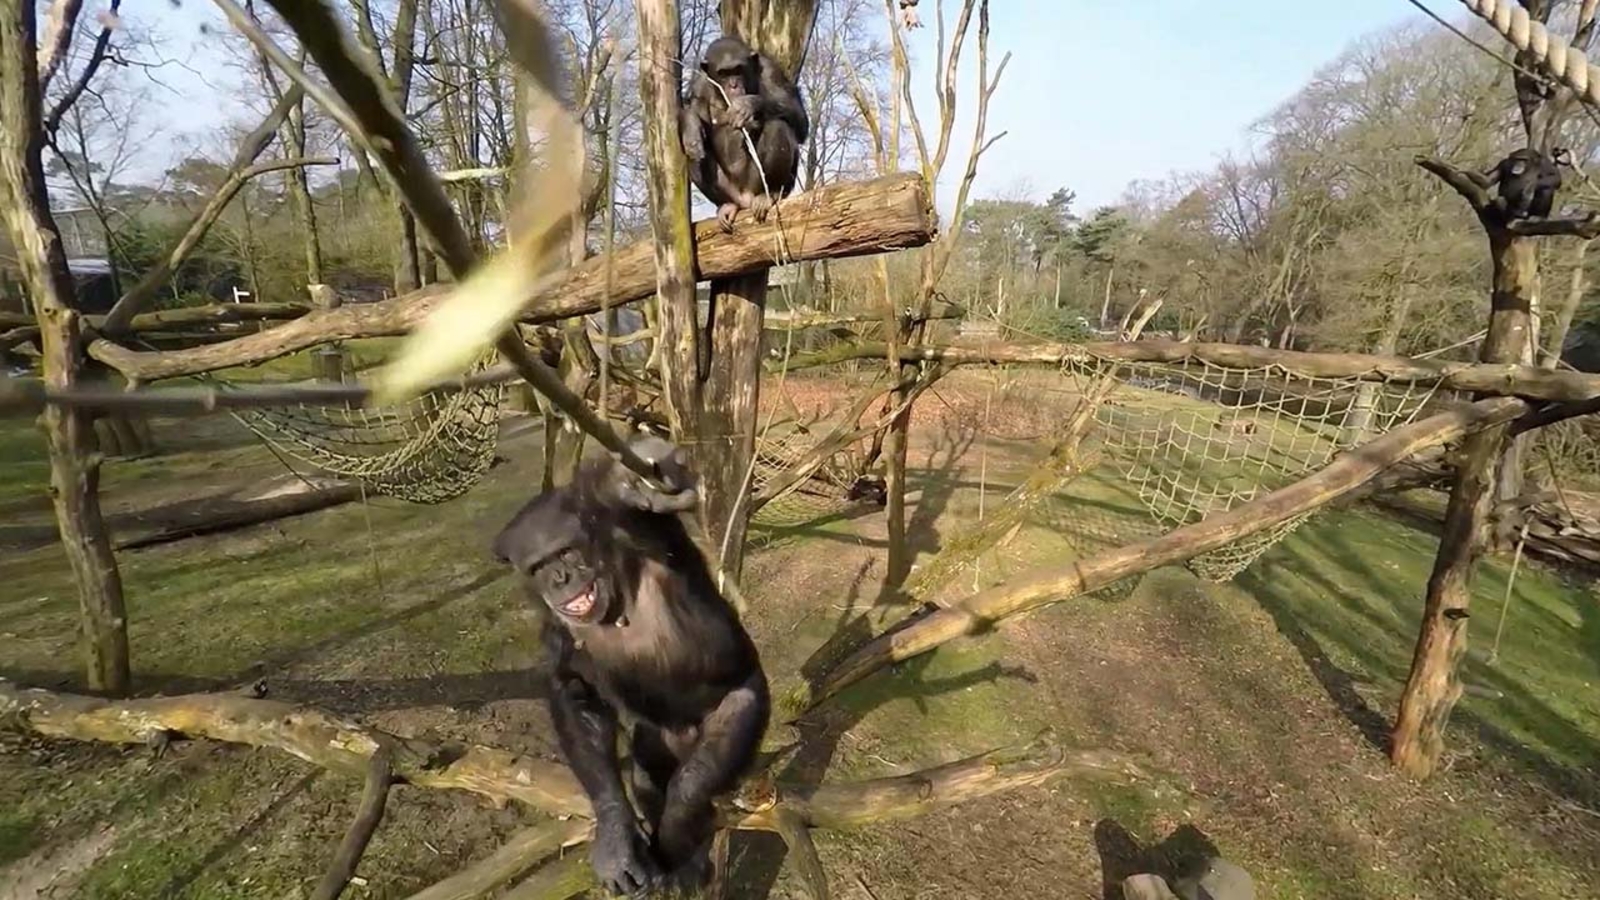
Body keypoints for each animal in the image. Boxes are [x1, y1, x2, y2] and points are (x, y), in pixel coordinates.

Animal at [491, 435, 769, 897]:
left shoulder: (640, 531)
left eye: (565, 552)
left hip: (747, 704)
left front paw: (638, 478)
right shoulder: (552, 621)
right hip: (654, 736)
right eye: (538, 566)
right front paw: (616, 836)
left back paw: (684, 851)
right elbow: (575, 691)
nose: (560, 577)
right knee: (646, 778)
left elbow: (629, 493)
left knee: (696, 779)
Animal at [680, 35, 809, 234]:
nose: (734, 85)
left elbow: (799, 118)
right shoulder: (699, 82)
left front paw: (747, 104)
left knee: (778, 125)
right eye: (723, 73)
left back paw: (769, 194)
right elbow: (693, 110)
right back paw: (727, 205)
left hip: (758, 184)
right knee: (693, 156)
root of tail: (745, 199)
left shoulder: (771, 71)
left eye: (738, 70)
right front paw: (692, 127)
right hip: (730, 190)